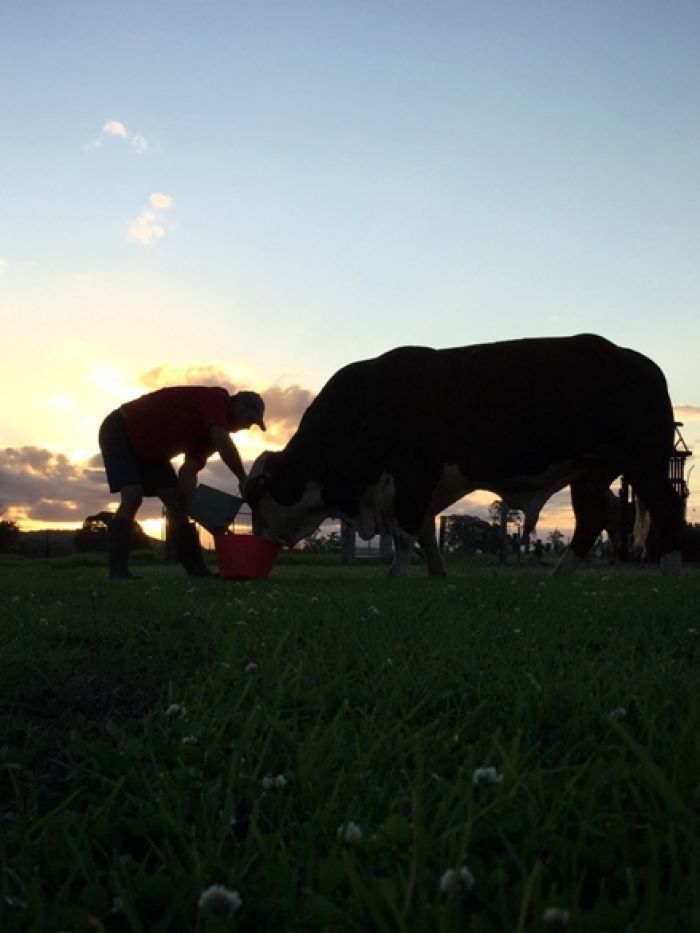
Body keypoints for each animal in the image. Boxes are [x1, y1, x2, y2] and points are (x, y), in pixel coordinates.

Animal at [247, 335, 684, 577]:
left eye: (256, 498)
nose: (260, 539)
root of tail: (638, 360)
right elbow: (425, 529)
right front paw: (435, 571)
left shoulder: (415, 472)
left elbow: (408, 530)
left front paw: (396, 574)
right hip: (589, 472)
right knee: (592, 520)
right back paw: (560, 574)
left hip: (644, 461)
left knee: (667, 507)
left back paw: (670, 569)